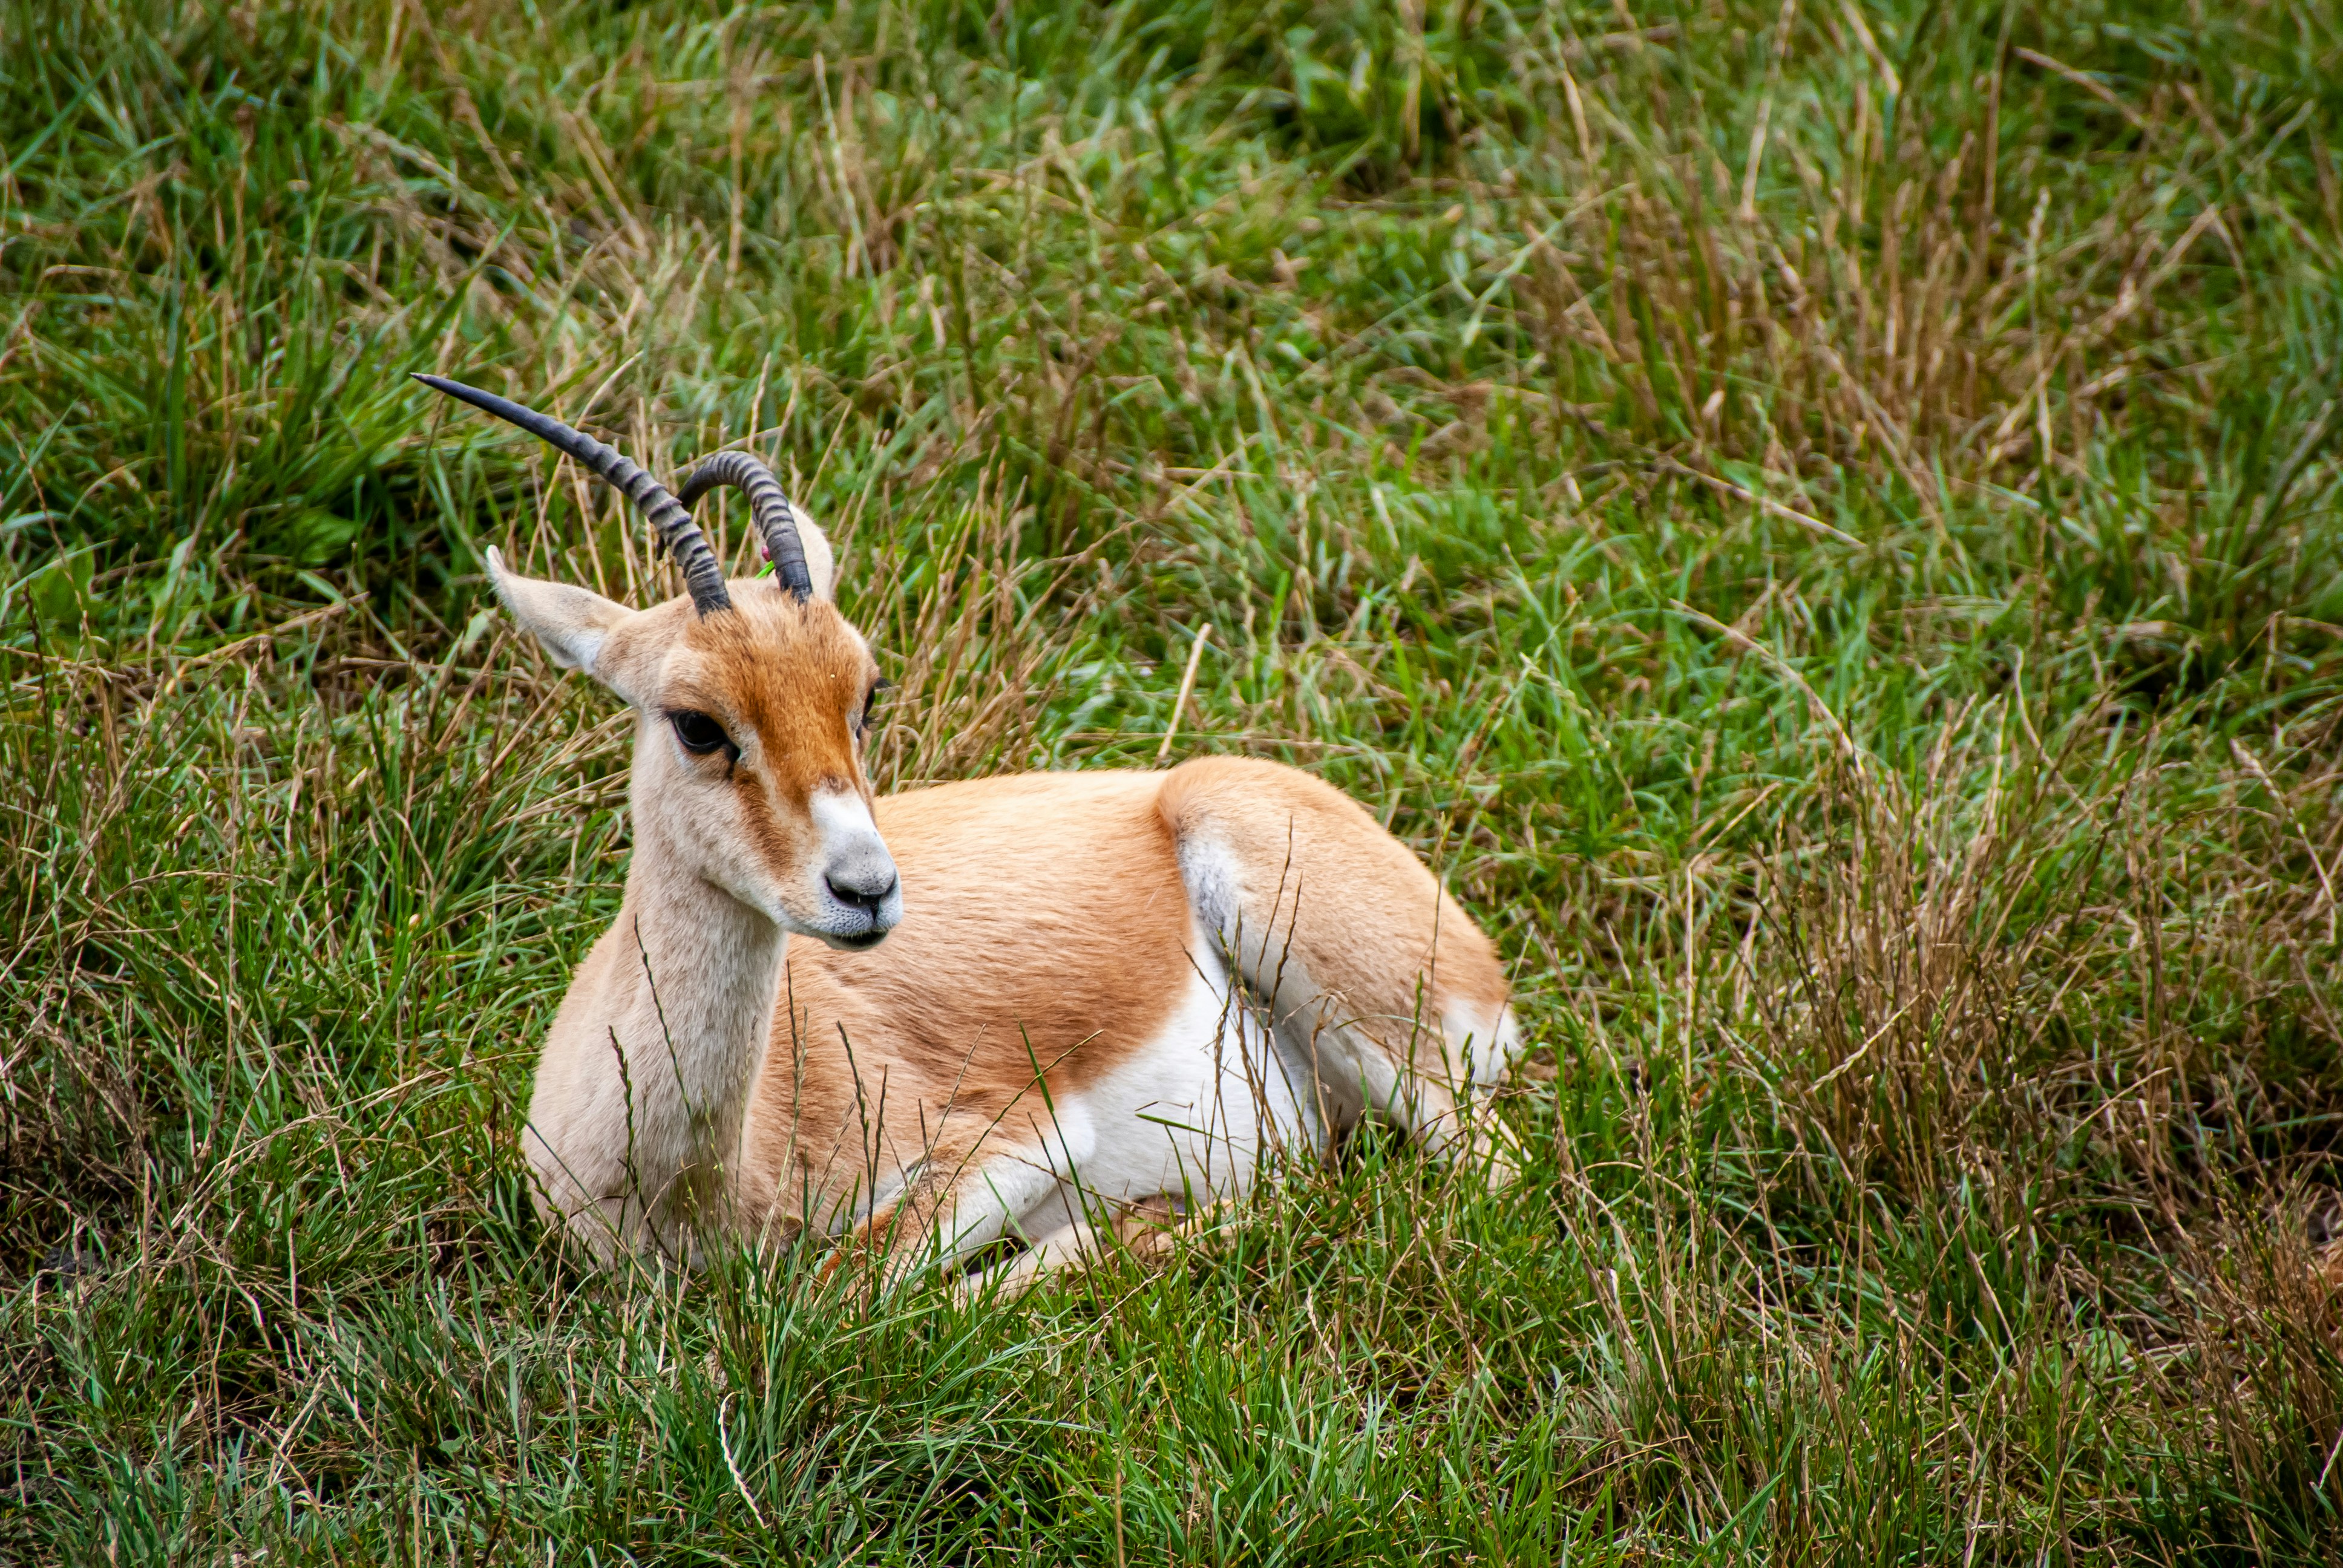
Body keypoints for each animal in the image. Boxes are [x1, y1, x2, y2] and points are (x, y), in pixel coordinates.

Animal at [419, 374, 1520, 1285]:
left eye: (865, 693)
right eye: (697, 721)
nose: (866, 889)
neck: (704, 1185)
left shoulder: (1018, 1132)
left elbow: (838, 1290)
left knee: (1478, 1174)